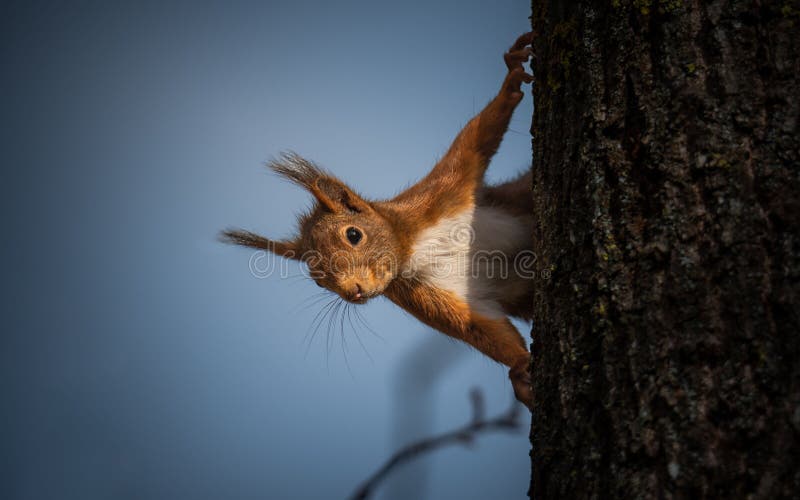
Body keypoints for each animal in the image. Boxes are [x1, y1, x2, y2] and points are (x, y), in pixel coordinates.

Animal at [222, 32, 536, 408]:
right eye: (317, 280)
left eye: (354, 235)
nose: (353, 292)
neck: (414, 248)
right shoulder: (429, 297)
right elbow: (484, 331)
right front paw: (520, 369)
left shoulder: (440, 195)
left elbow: (476, 140)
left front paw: (511, 79)